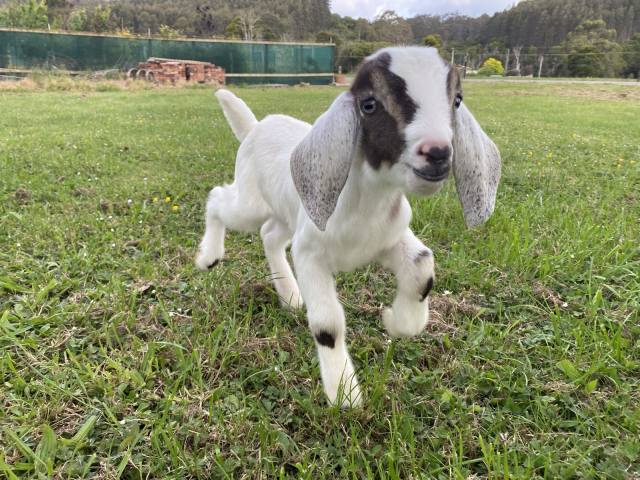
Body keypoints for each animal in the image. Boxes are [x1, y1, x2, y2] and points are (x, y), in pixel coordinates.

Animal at [196, 47, 501, 407]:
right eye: (369, 105)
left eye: (456, 100)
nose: (438, 153)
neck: (366, 202)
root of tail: (255, 128)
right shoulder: (310, 253)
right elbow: (328, 325)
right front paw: (344, 394)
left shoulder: (389, 238)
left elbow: (422, 266)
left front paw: (399, 322)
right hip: (251, 203)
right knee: (218, 199)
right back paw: (209, 257)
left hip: (288, 214)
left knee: (269, 235)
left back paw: (290, 296)